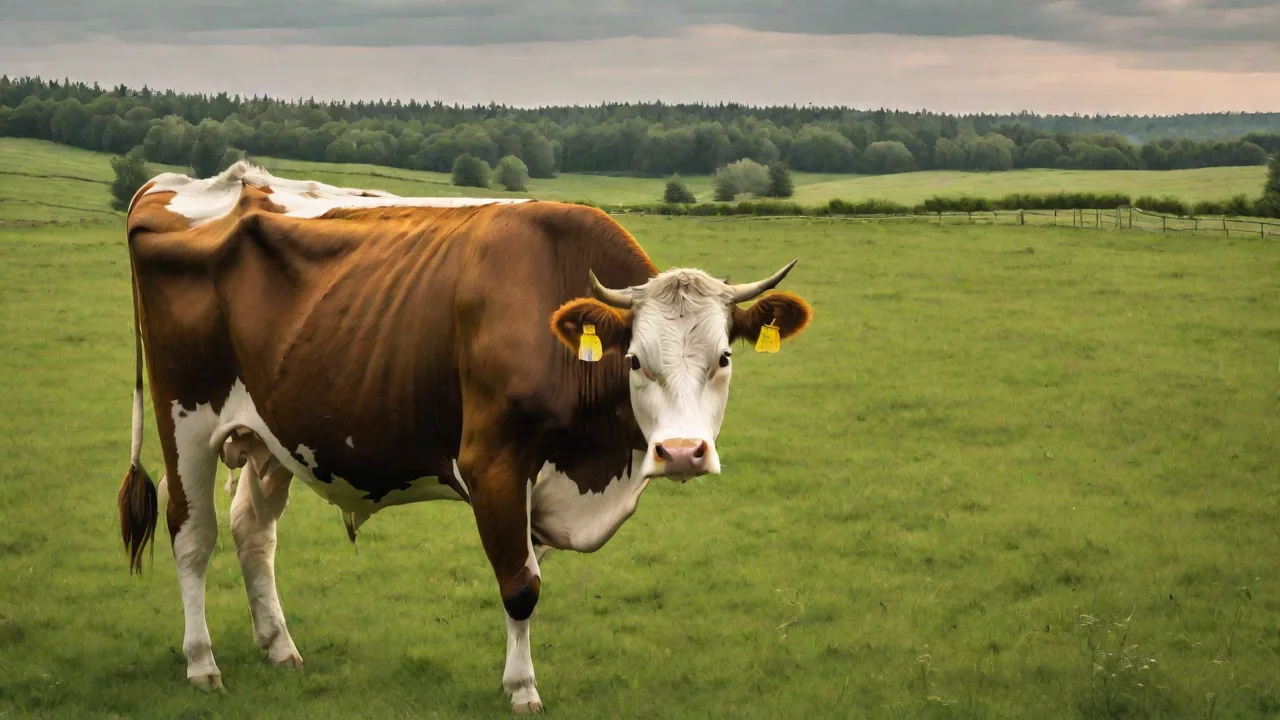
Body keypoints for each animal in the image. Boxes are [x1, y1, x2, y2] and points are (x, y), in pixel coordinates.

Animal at [117, 161, 812, 714]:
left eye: (724, 357)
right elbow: (520, 586)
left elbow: (527, 570)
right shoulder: (492, 463)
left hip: (269, 431)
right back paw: (202, 662)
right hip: (186, 419)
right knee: (191, 534)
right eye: (635, 361)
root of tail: (173, 183)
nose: (683, 453)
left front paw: (515, 676)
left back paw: (280, 648)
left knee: (252, 532)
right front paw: (523, 690)